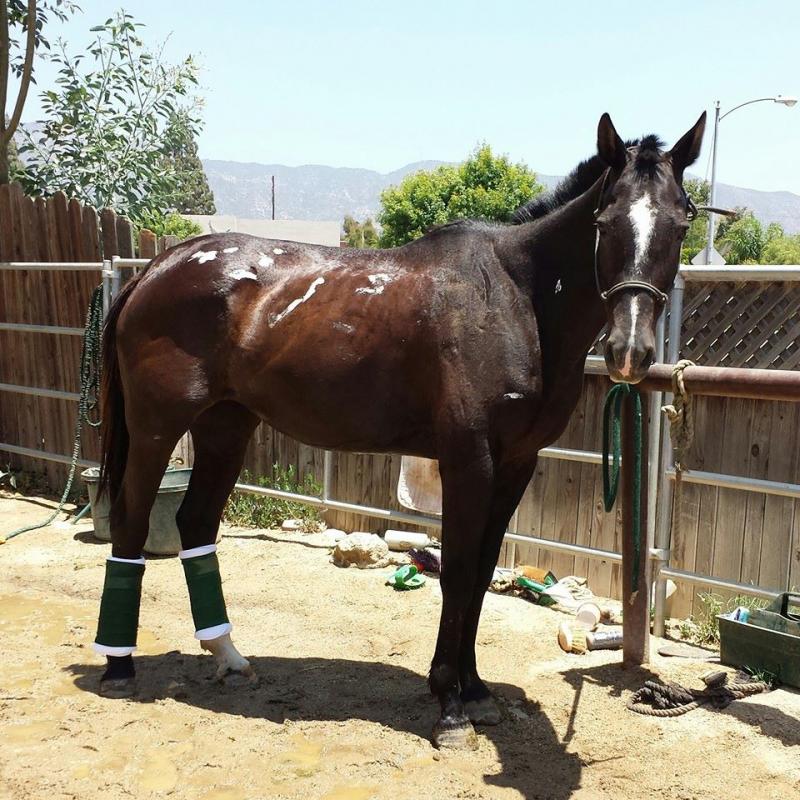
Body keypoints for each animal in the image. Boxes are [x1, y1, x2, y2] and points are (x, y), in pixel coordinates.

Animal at [93, 112, 705, 749]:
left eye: (681, 223)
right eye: (606, 222)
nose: (629, 351)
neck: (515, 296)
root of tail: (156, 270)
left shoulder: (516, 464)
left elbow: (482, 573)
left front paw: (475, 691)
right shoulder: (469, 461)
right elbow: (457, 573)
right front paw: (450, 705)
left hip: (225, 428)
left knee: (195, 522)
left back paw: (228, 656)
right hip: (157, 429)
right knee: (131, 522)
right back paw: (119, 666)